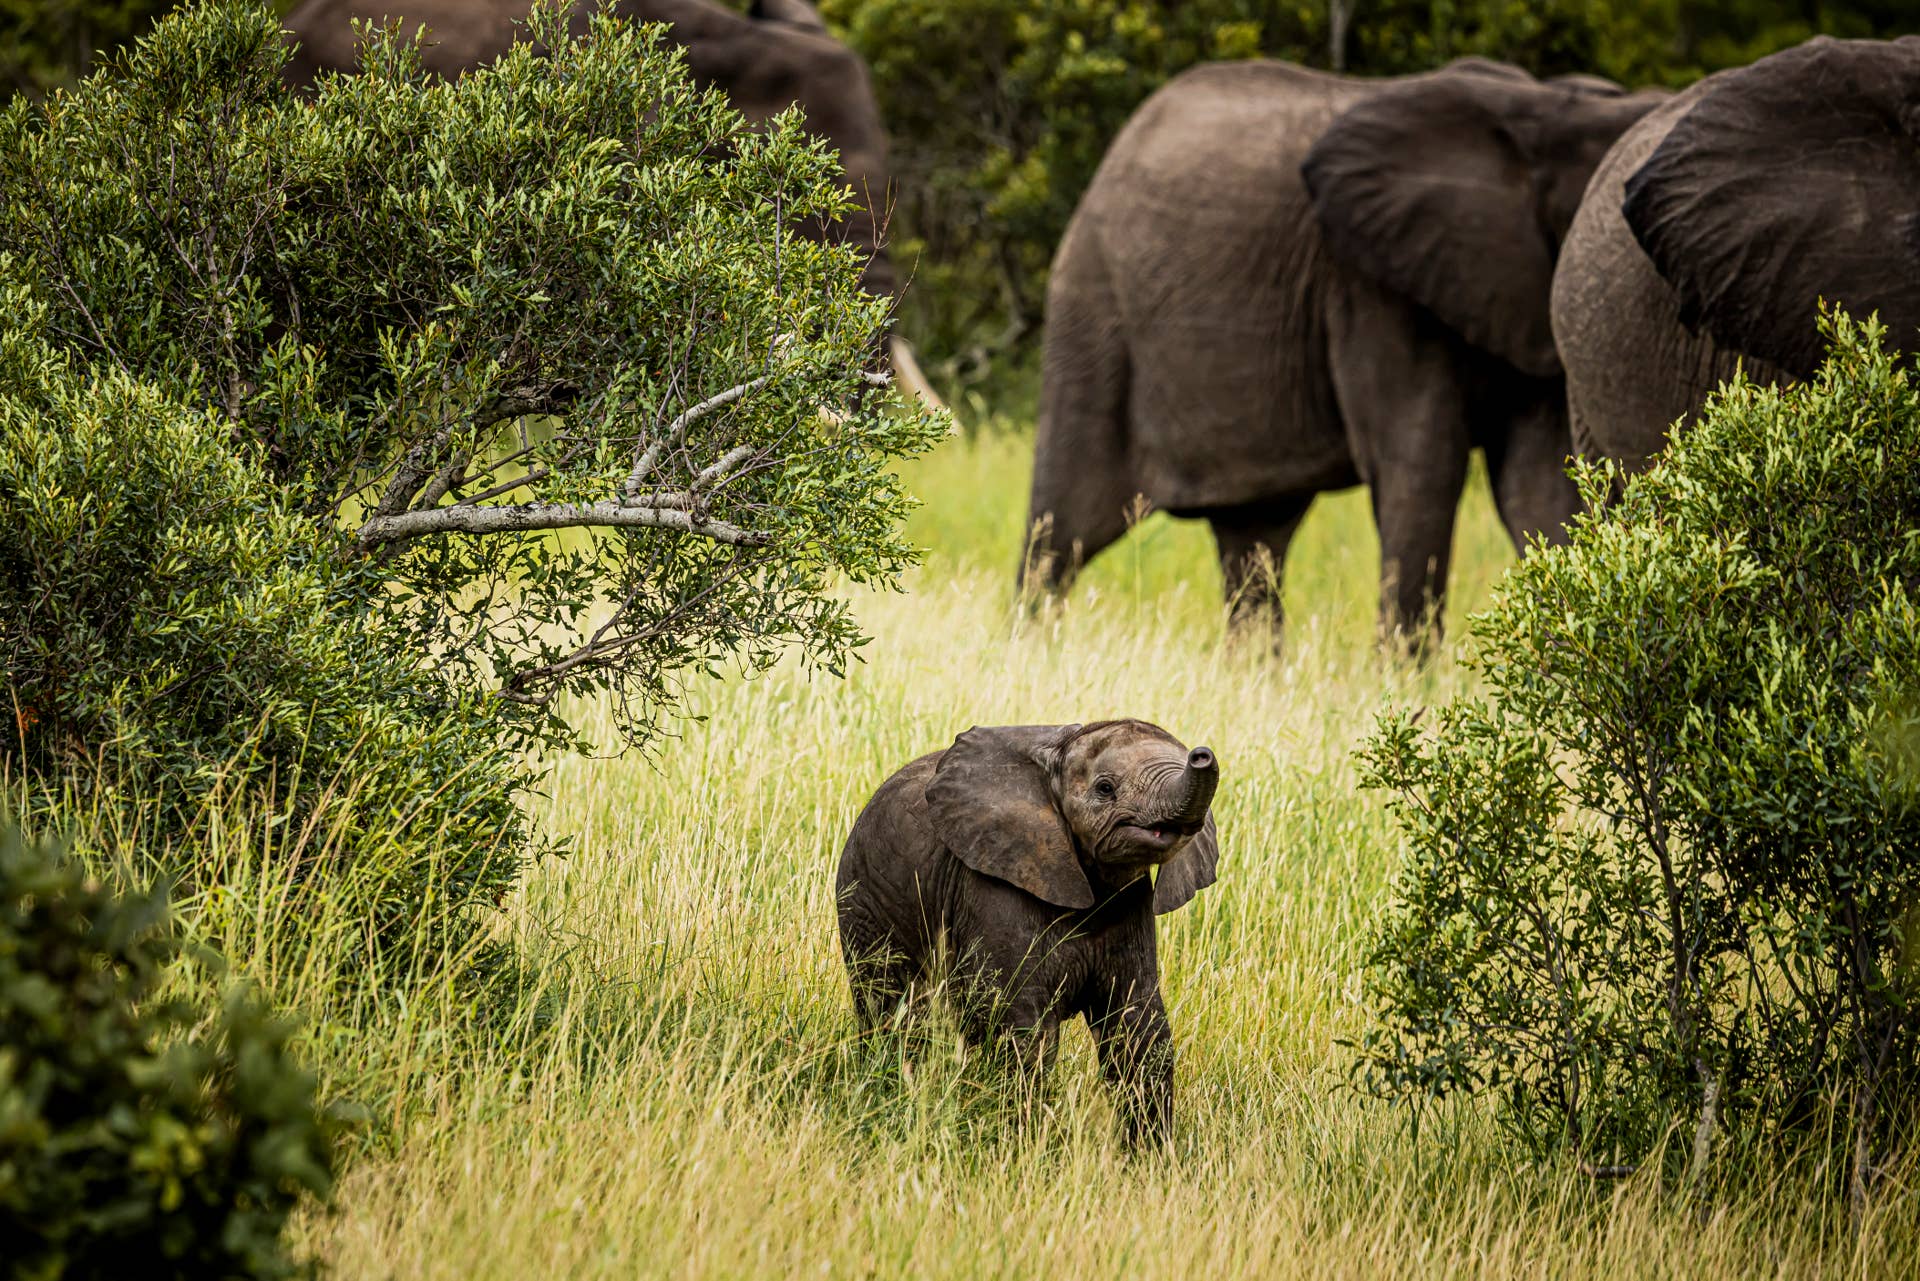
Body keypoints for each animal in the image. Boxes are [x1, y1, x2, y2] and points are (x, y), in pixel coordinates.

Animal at [836, 720, 1220, 1144]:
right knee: (894, 1012)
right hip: (865, 904)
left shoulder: (1131, 900)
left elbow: (1140, 1028)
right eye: (1105, 788)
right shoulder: (994, 886)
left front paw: (1151, 1157)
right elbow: (1021, 1027)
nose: (1202, 754)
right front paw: (1026, 1147)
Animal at [1020, 59, 1665, 638]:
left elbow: (1536, 487)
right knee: (1062, 534)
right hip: (1095, 309)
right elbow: (1422, 467)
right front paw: (1407, 683)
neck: (1553, 107)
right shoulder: (1370, 288)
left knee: (1254, 542)